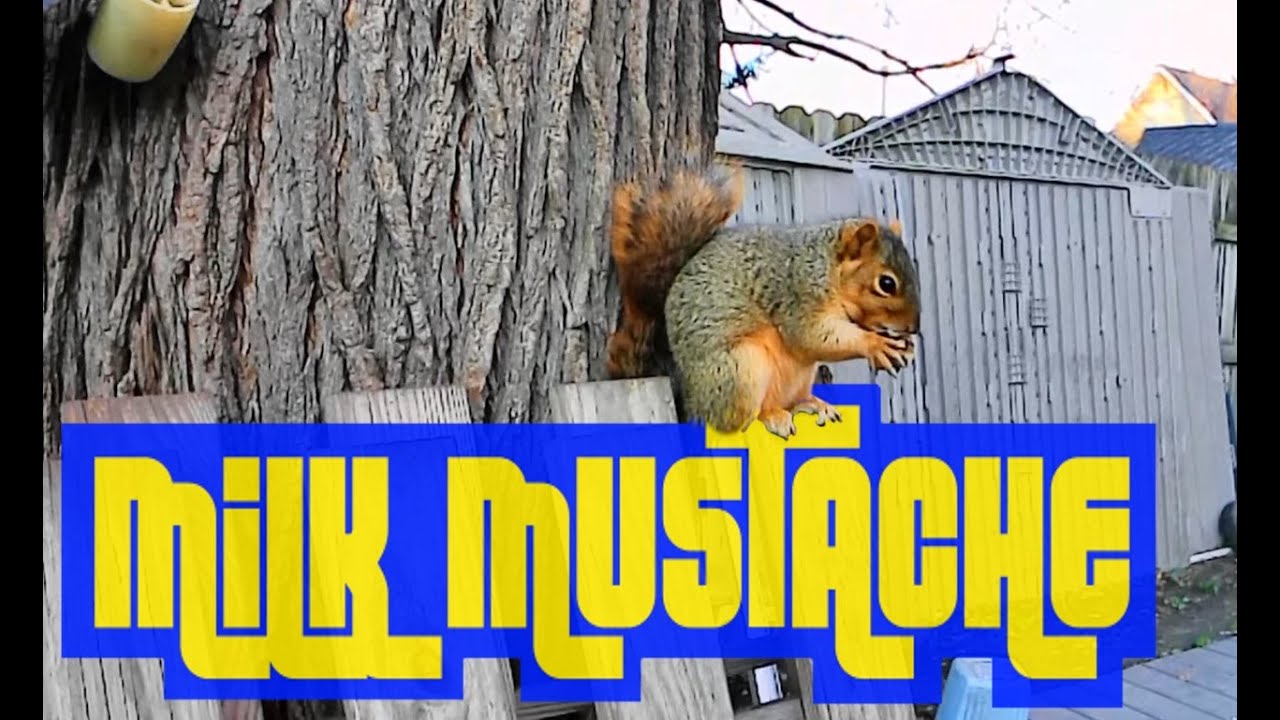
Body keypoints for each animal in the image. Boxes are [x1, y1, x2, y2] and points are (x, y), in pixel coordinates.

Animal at [605, 165, 922, 439]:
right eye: (886, 284)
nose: (914, 328)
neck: (826, 269)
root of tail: (693, 405)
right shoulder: (796, 296)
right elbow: (810, 337)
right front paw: (876, 344)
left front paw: (902, 347)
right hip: (742, 369)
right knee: (738, 421)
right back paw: (772, 416)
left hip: (799, 374)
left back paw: (811, 404)